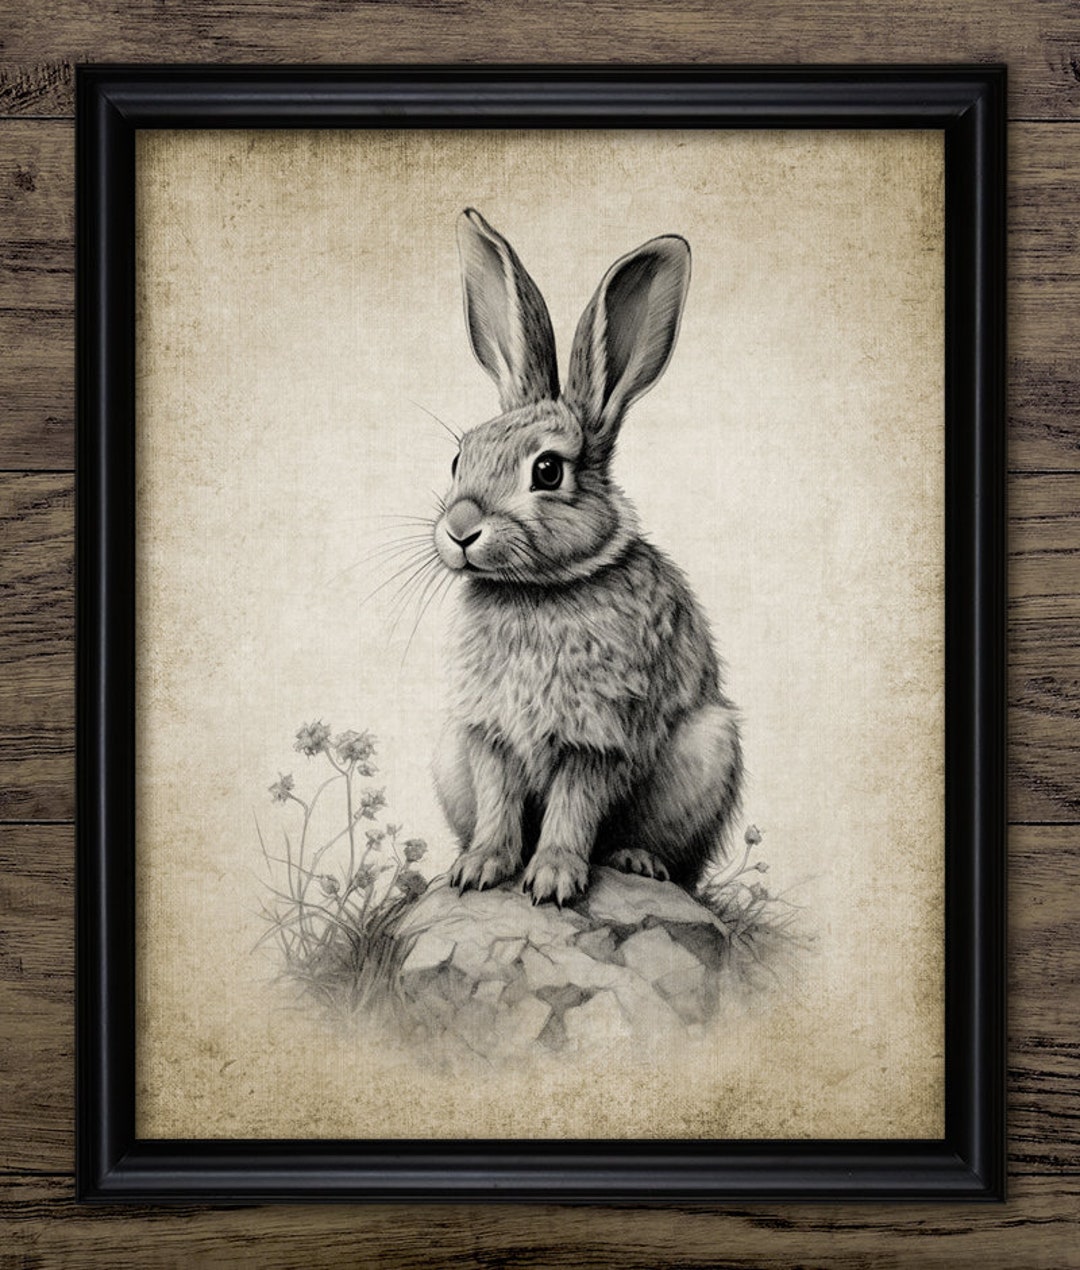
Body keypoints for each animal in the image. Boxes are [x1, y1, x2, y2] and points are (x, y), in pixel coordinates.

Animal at [431, 208, 742, 906]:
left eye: (548, 471)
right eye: (459, 458)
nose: (460, 529)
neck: (536, 590)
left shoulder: (597, 737)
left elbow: (574, 807)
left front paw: (550, 880)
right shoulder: (487, 734)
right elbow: (498, 802)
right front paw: (481, 868)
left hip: (709, 751)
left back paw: (637, 861)